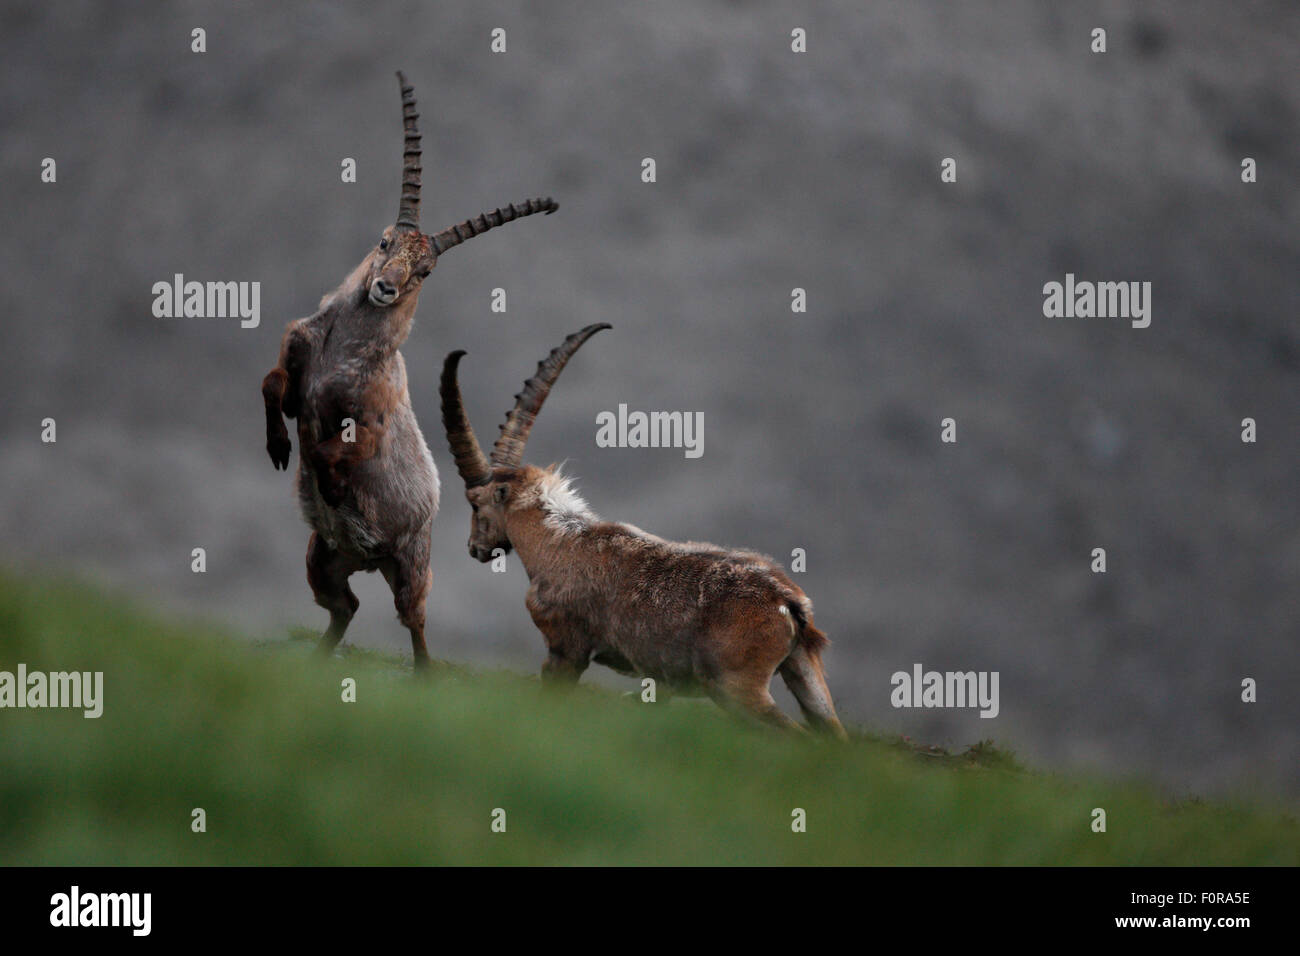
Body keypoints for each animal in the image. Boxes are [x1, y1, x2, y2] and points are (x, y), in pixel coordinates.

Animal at [262, 72, 559, 669]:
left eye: (425, 270)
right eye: (384, 242)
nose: (385, 287)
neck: (344, 352)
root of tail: (366, 561)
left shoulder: (369, 421)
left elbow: (333, 448)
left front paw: (332, 484)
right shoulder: (298, 353)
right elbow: (273, 384)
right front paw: (280, 446)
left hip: (412, 564)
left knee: (412, 618)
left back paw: (422, 673)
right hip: (320, 560)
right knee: (345, 606)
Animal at [439, 325, 848, 736]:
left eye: (475, 502)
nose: (474, 547)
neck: (555, 539)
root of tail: (790, 603)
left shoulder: (565, 647)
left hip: (737, 687)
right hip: (802, 670)